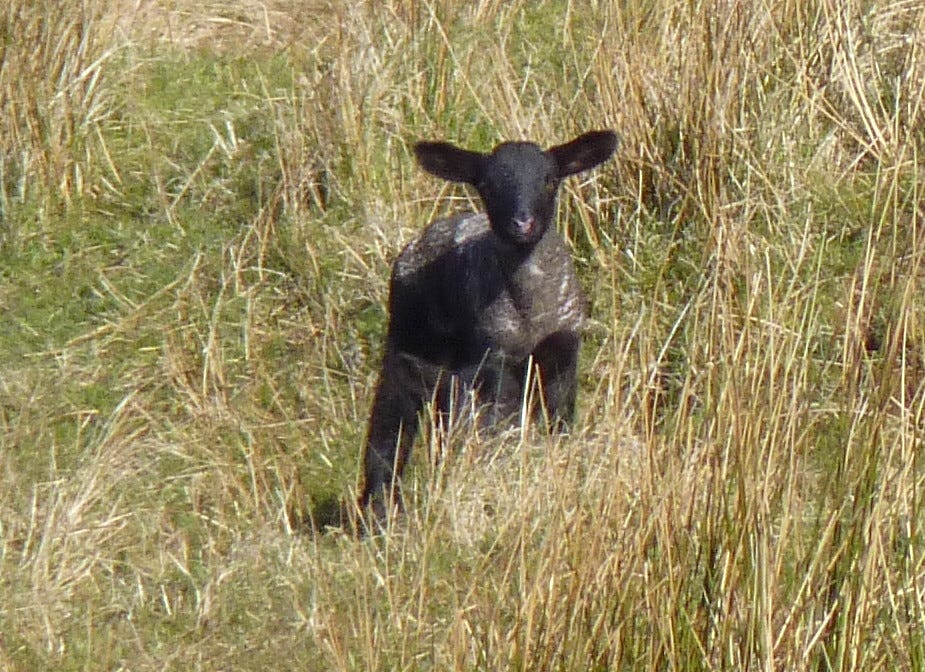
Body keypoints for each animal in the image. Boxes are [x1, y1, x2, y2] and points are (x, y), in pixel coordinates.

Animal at [358, 129, 619, 519]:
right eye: (487, 185)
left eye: (549, 179)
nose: (522, 223)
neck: (529, 313)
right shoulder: (493, 358)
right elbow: (500, 424)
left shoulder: (563, 345)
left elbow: (558, 417)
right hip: (408, 353)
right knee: (389, 432)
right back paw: (379, 510)